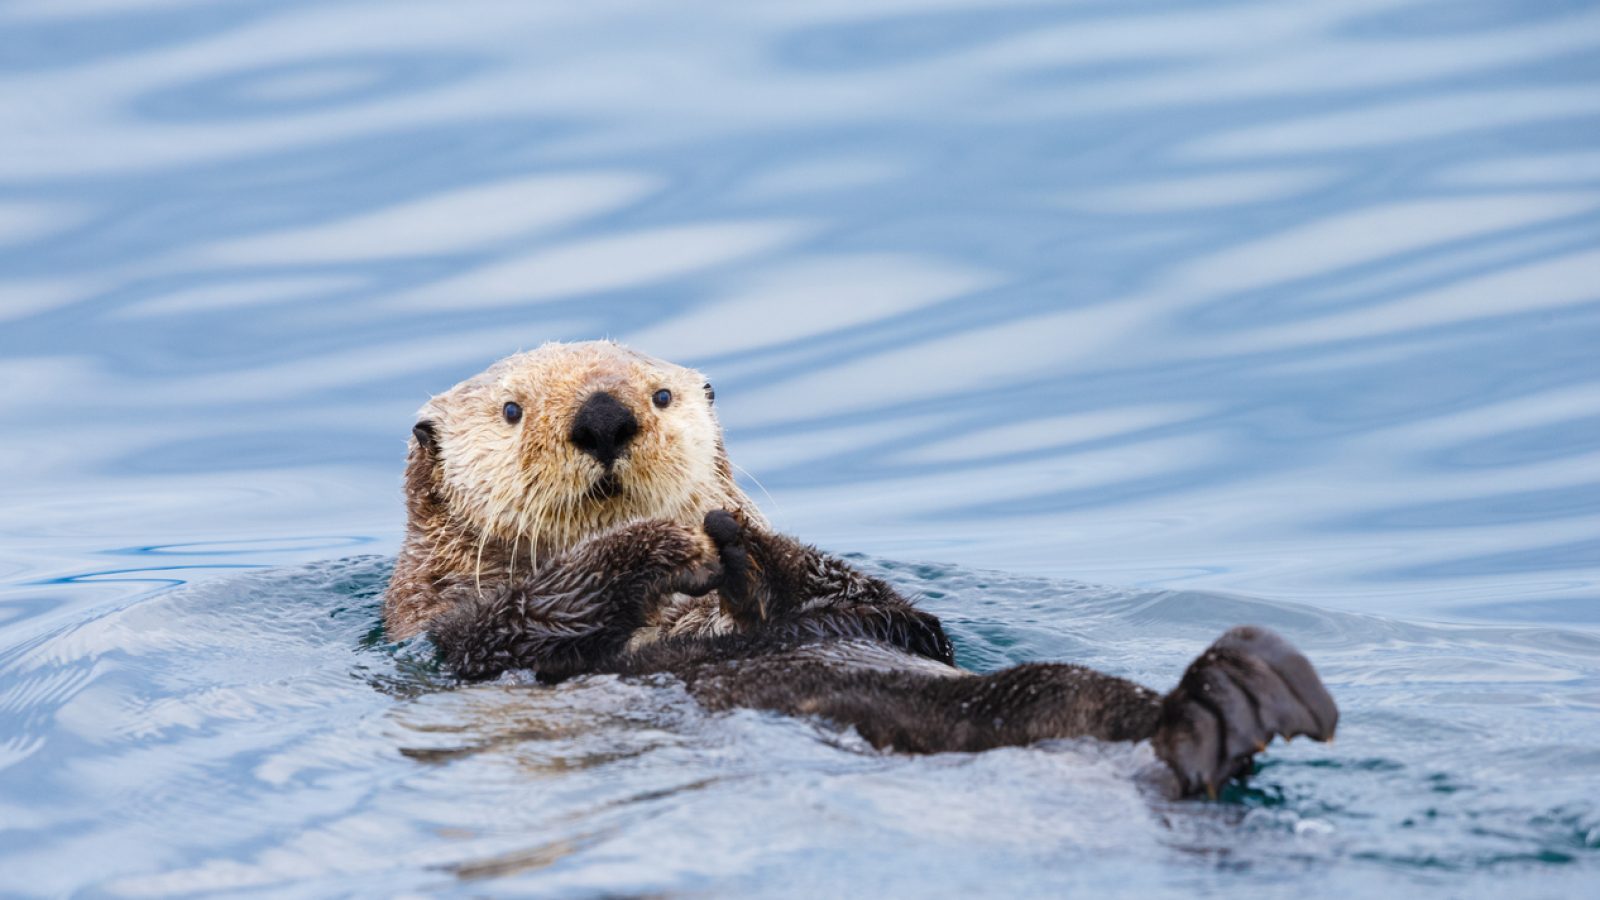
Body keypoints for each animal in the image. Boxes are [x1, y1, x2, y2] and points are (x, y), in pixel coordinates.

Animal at [385, 341, 1337, 797]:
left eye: (660, 394)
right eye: (513, 411)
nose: (605, 414)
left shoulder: (890, 620)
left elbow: (894, 615)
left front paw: (738, 541)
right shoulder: (452, 634)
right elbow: (527, 621)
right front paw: (668, 546)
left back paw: (1242, 694)